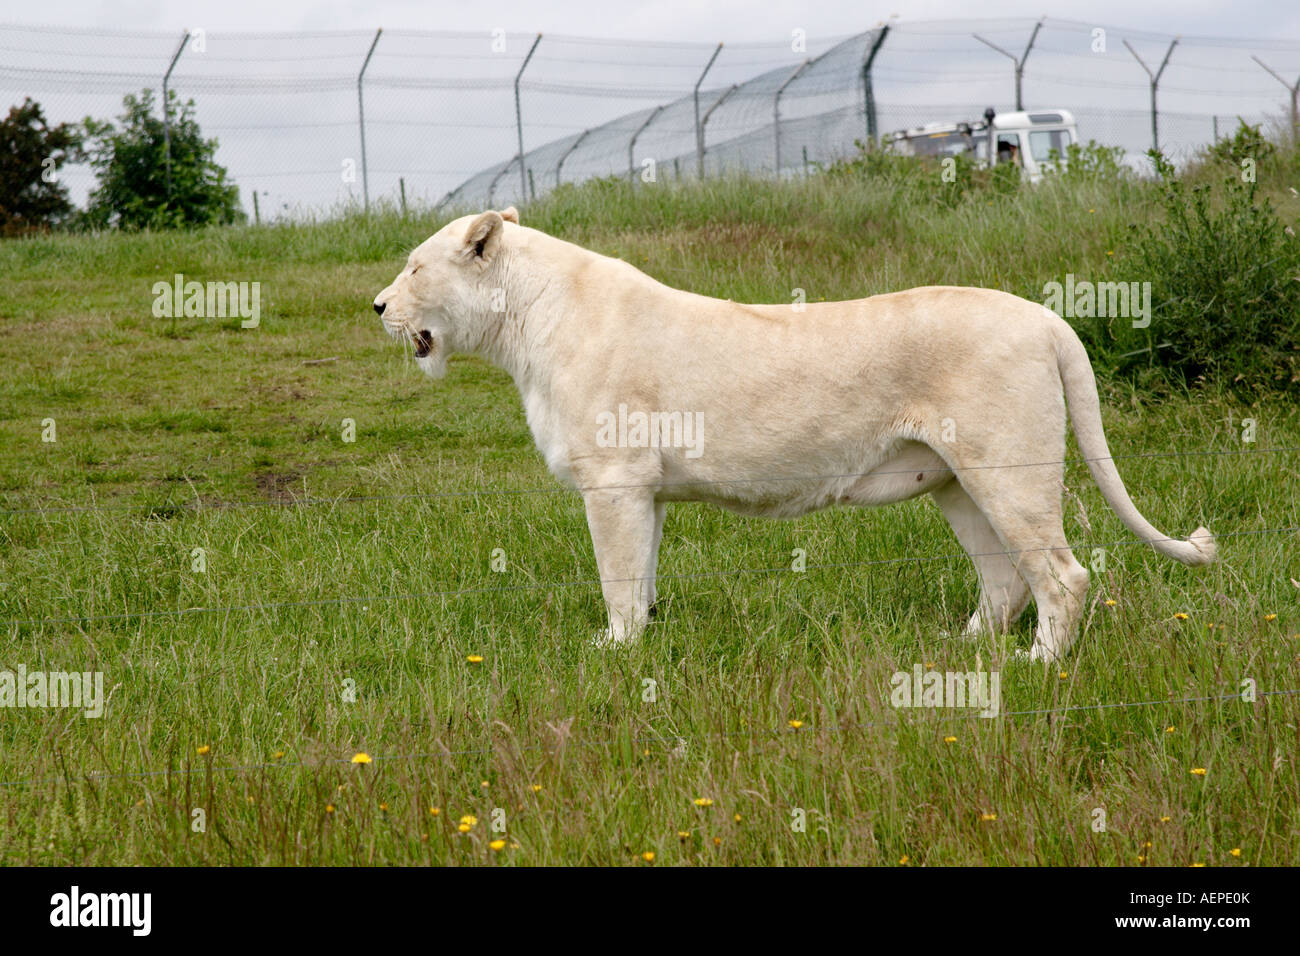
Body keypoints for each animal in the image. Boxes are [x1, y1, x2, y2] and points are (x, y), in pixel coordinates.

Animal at [372, 207, 1216, 661]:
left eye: (414, 268)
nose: (376, 306)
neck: (519, 329)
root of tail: (1048, 320)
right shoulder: (644, 490)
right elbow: (641, 573)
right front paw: (644, 638)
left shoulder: (611, 481)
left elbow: (615, 576)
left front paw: (614, 652)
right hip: (956, 482)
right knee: (1006, 580)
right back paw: (965, 649)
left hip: (1007, 470)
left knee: (1063, 576)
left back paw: (1038, 664)